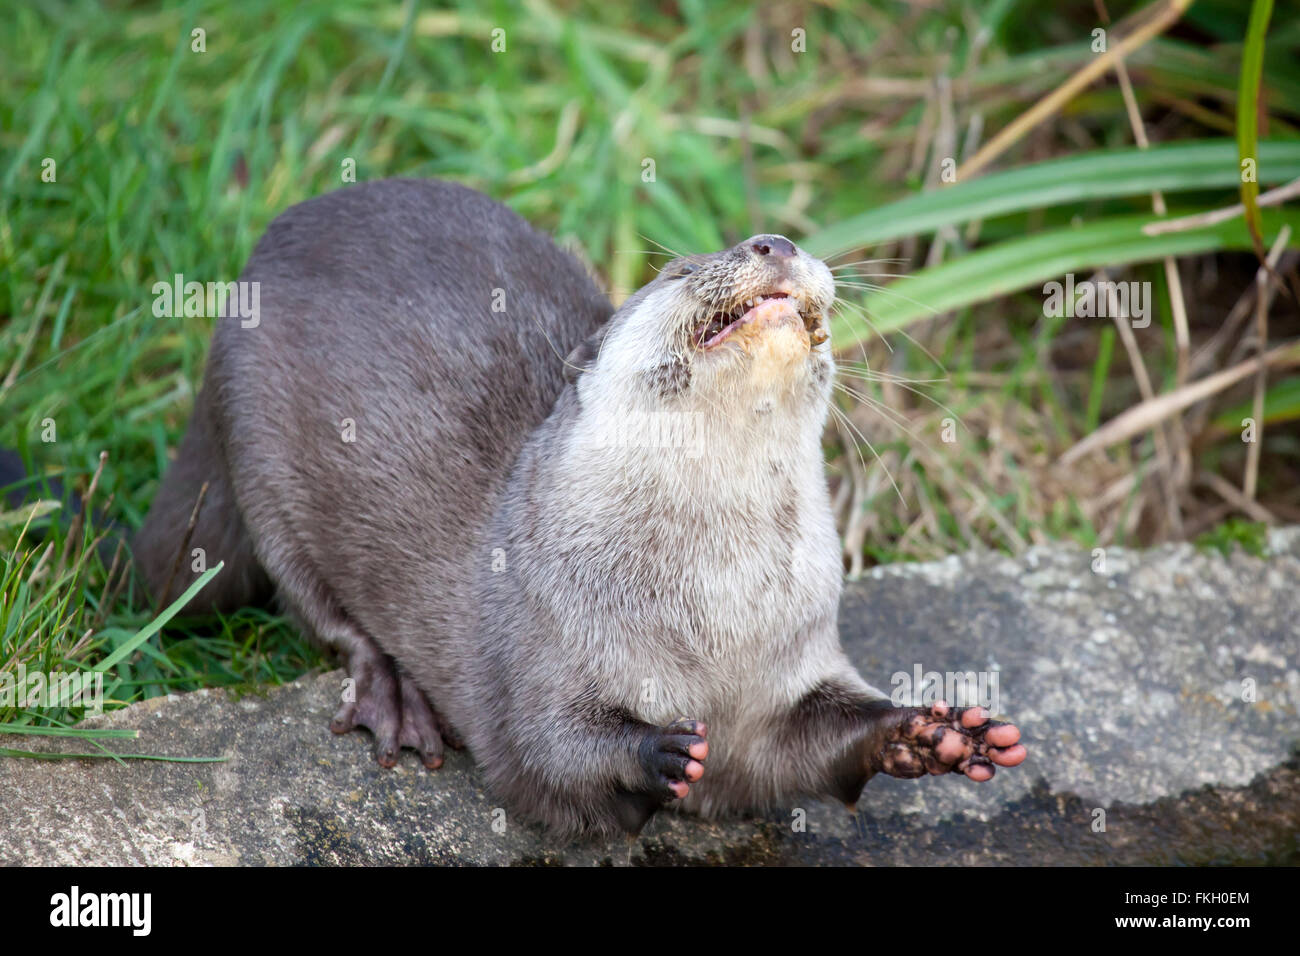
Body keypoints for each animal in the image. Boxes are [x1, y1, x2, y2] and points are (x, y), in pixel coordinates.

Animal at [128, 178, 1025, 836]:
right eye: (676, 270)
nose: (776, 243)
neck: (714, 610)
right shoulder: (537, 632)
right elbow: (541, 755)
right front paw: (656, 751)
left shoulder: (791, 667)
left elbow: (808, 753)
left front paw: (931, 733)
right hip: (252, 443)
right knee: (315, 606)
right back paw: (394, 698)